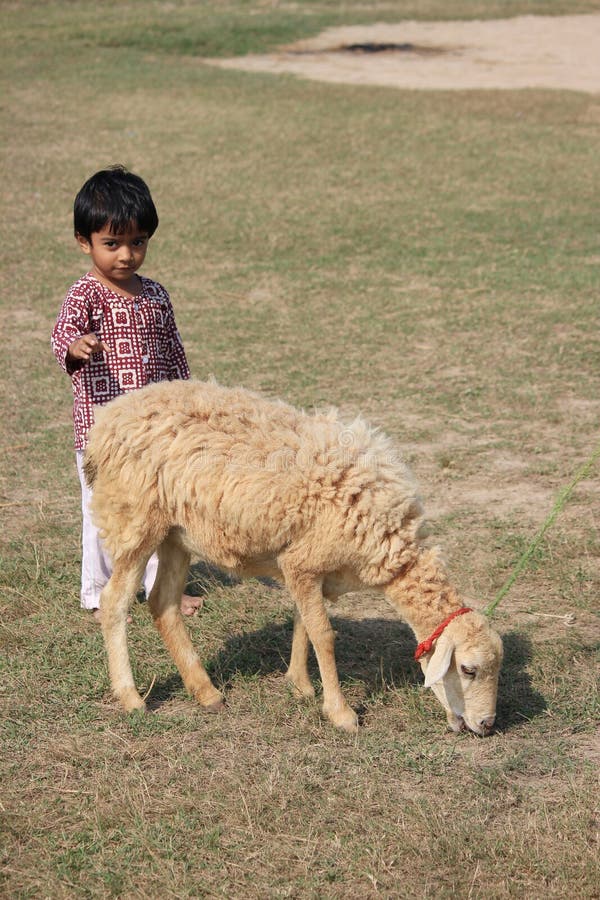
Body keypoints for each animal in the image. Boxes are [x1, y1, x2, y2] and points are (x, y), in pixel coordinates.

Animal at [84, 379, 503, 735]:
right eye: (468, 669)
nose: (486, 725)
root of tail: (109, 417)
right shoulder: (301, 561)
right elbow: (324, 635)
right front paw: (340, 713)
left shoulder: (311, 569)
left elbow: (305, 624)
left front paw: (300, 685)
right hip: (135, 519)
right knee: (115, 601)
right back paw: (131, 697)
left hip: (176, 533)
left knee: (163, 603)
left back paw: (206, 692)